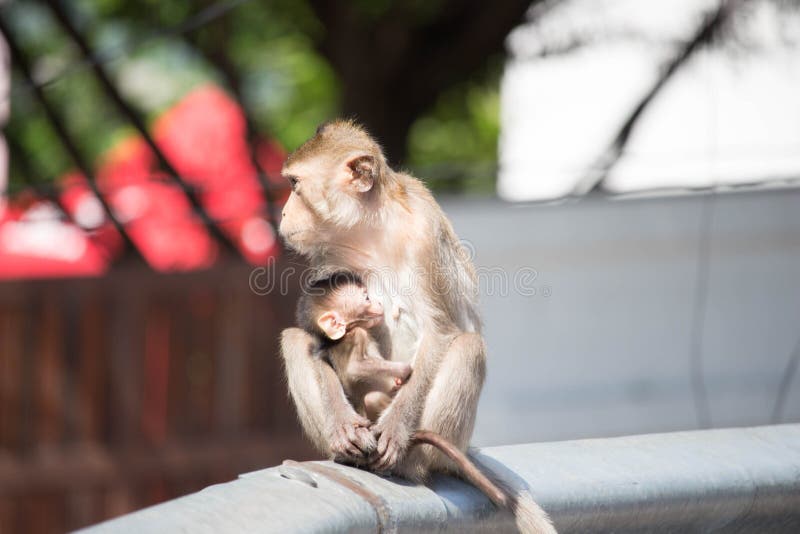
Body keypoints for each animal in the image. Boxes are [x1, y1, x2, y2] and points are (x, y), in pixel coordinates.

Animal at [278, 120, 555, 533]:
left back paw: (412, 463)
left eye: (295, 185)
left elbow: (441, 330)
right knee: (294, 340)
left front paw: (396, 429)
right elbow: (316, 338)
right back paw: (346, 452)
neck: (372, 227)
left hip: (450, 438)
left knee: (467, 346)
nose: (282, 214)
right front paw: (342, 425)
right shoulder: (329, 254)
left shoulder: (424, 233)